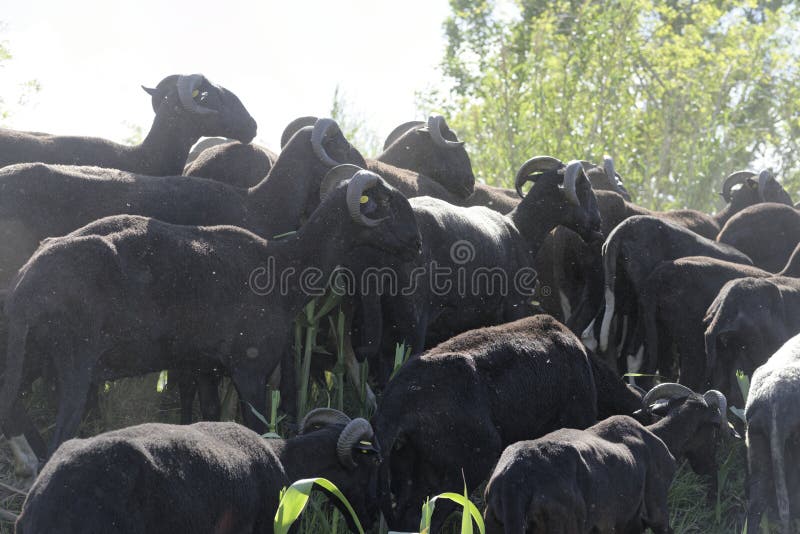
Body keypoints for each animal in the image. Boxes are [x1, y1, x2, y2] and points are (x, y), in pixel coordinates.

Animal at [0, 168, 421, 457]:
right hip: (75, 361)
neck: (285, 267)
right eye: (387, 205)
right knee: (57, 436)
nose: (417, 244)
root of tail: (28, 278)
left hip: (30, 356)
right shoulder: (251, 369)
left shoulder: (204, 368)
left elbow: (210, 416)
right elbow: (257, 429)